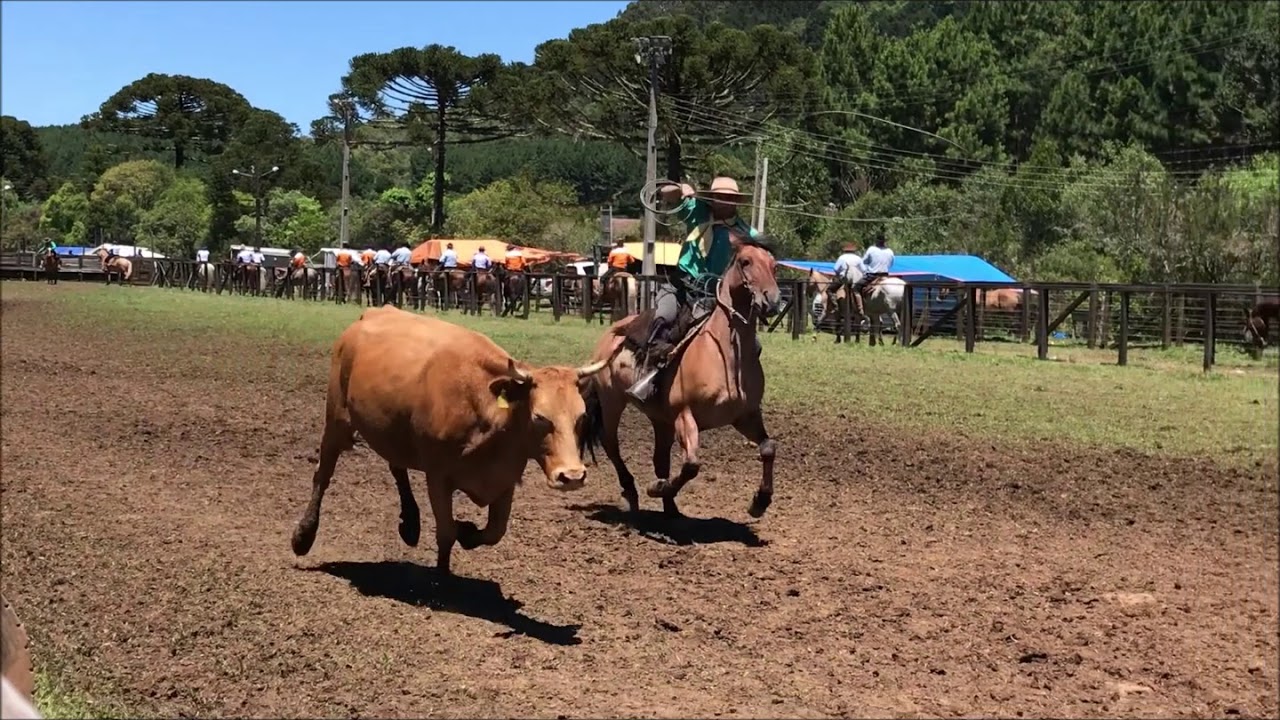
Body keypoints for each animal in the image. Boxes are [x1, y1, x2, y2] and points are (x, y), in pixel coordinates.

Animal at [290, 306, 607, 575]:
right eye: (540, 417)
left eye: (581, 416)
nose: (572, 476)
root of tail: (369, 314)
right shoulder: (438, 478)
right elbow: (446, 532)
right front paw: (442, 579)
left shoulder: (504, 480)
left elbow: (494, 532)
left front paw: (468, 532)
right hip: (336, 421)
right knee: (323, 475)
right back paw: (303, 535)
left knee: (397, 466)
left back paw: (410, 523)